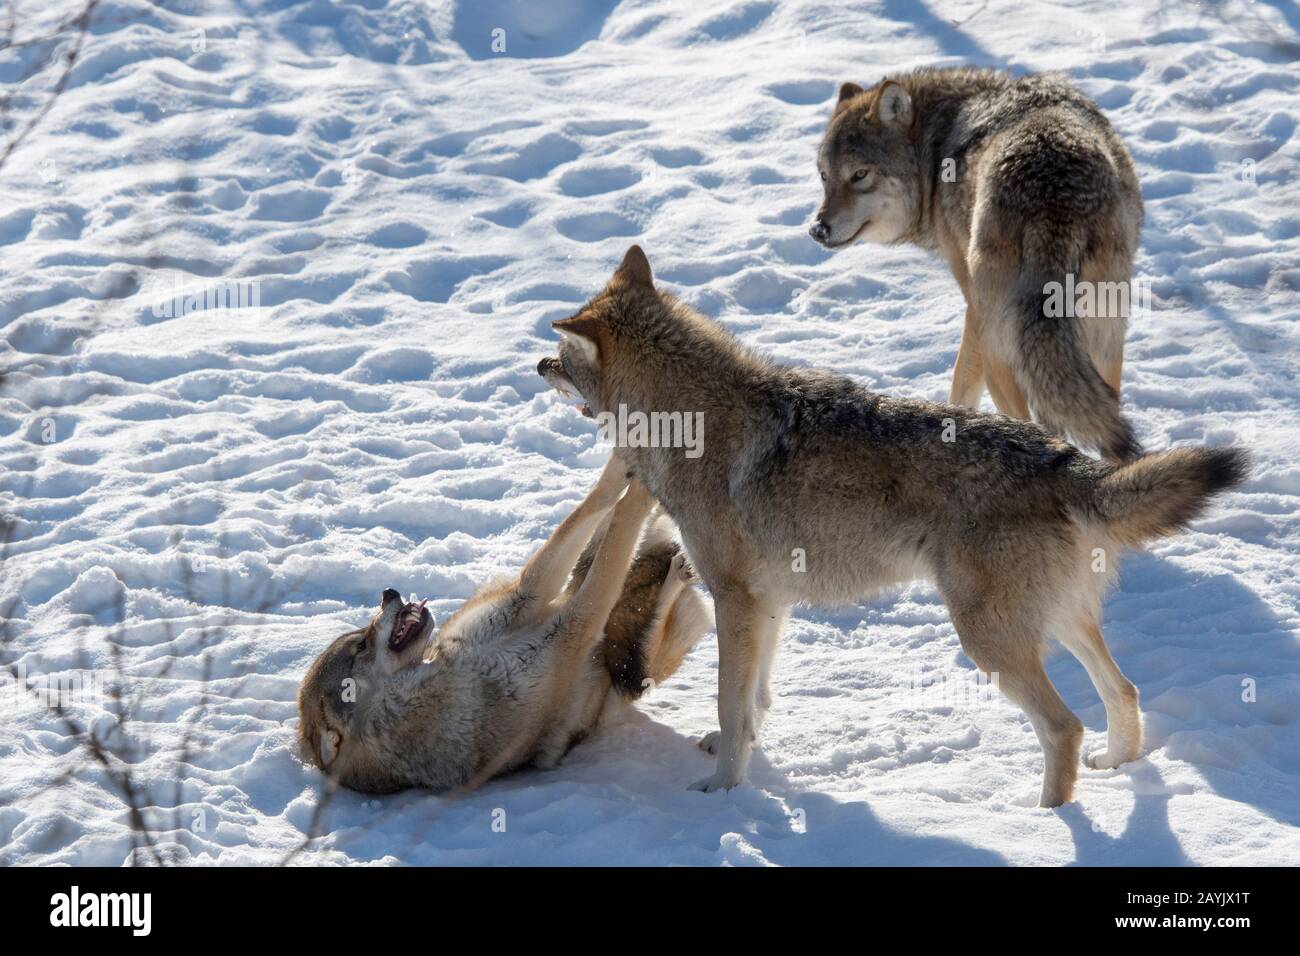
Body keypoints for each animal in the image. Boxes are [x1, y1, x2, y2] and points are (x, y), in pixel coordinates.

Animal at [297, 456, 711, 794]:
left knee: (596, 546)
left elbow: (595, 508)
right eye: (361, 646)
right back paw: (675, 574)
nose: (388, 592)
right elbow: (619, 530)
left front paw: (623, 464)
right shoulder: (572, 627)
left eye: (358, 635)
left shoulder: (526, 598)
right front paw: (637, 487)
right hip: (638, 665)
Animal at [540, 246, 1247, 806]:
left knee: (1065, 726)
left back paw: (1045, 821)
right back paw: (1117, 769)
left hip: (987, 641)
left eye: (560, 351)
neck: (692, 424)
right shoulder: (768, 605)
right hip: (1058, 623)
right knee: (1124, 692)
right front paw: (737, 760)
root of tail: (1064, 457)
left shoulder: (735, 601)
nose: (536, 366)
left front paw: (723, 792)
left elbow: (733, 703)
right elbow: (756, 700)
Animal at [810, 67, 1144, 462]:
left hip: (998, 337)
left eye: (859, 175)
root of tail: (1054, 198)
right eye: (824, 176)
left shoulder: (970, 305)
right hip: (1103, 342)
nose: (817, 229)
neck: (934, 146)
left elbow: (961, 384)